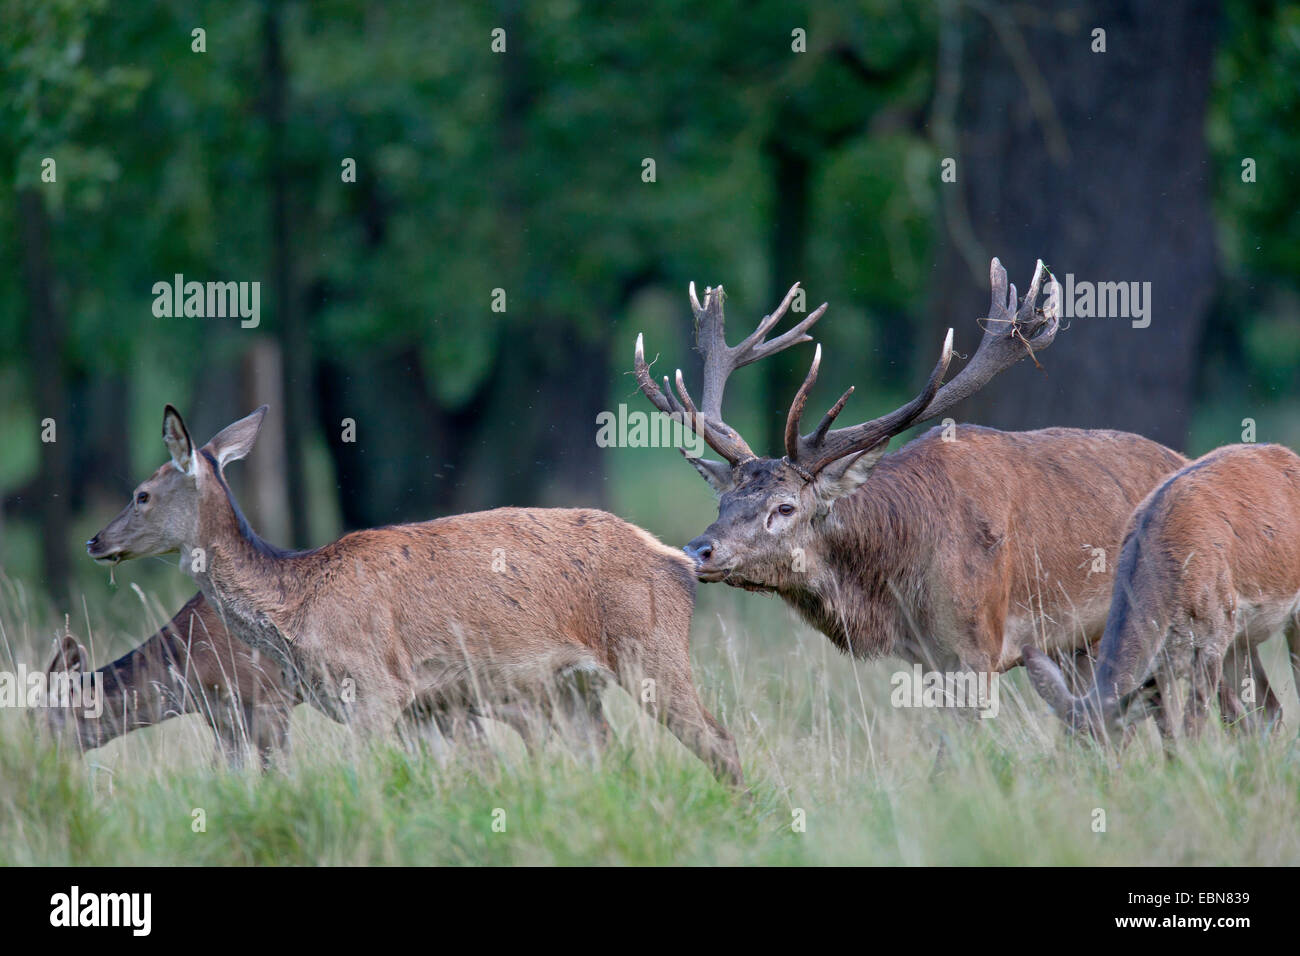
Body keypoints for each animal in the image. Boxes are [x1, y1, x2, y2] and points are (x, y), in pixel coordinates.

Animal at [85, 408, 742, 786]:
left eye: (141, 494)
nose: (94, 540)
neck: (298, 609)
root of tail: (677, 560)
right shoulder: (422, 705)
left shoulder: (378, 686)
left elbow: (365, 779)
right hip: (572, 686)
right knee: (603, 756)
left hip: (649, 649)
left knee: (719, 740)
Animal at [633, 258, 1284, 722]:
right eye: (723, 501)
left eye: (784, 507)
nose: (698, 550)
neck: (897, 584)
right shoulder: (932, 659)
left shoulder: (979, 645)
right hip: (1092, 645)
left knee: (1257, 709)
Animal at [1023, 443, 1300, 743]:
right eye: (1073, 743)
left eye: (1111, 740)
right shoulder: (1161, 665)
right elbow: (1169, 734)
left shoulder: (1214, 637)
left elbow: (1192, 728)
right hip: (1240, 638)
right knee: (1269, 709)